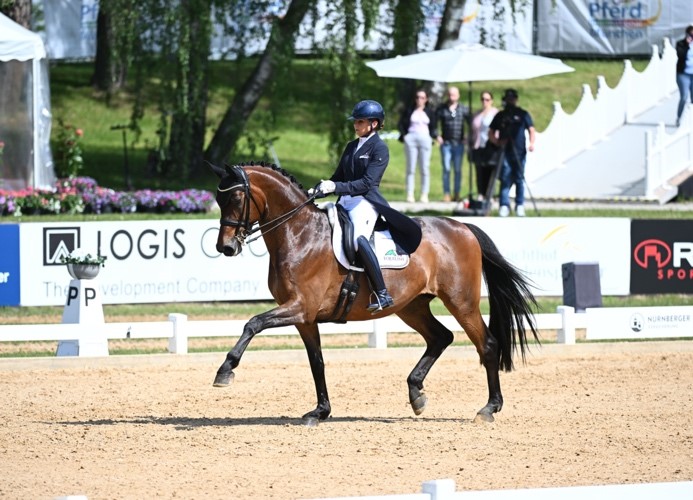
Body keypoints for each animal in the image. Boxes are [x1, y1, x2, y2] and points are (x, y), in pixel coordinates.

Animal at [211, 162, 539, 426]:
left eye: (236, 198)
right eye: (218, 198)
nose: (226, 247)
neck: (298, 233)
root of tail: (463, 227)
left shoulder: (301, 307)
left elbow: (252, 323)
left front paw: (225, 370)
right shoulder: (305, 318)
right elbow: (317, 362)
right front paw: (320, 411)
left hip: (462, 302)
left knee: (487, 345)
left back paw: (489, 408)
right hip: (411, 306)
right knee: (440, 337)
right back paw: (416, 393)